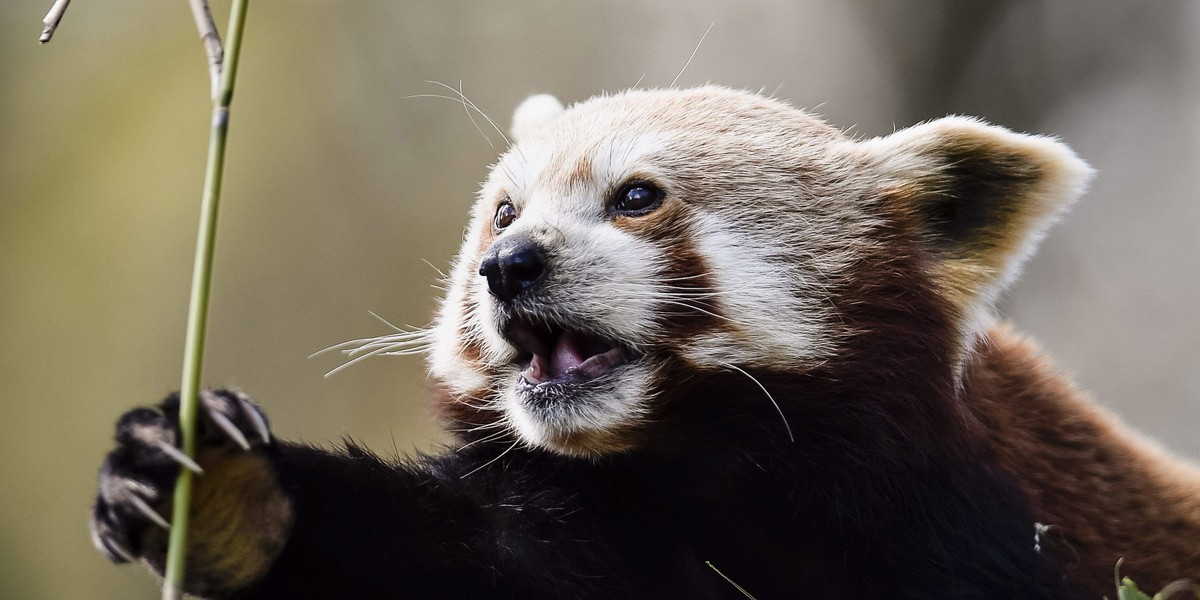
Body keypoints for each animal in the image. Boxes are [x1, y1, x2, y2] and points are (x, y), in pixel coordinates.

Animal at [90, 86, 1200, 599]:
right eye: (503, 214)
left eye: (634, 198)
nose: (510, 266)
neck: (697, 474)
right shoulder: (582, 523)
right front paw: (225, 490)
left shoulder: (968, 525)